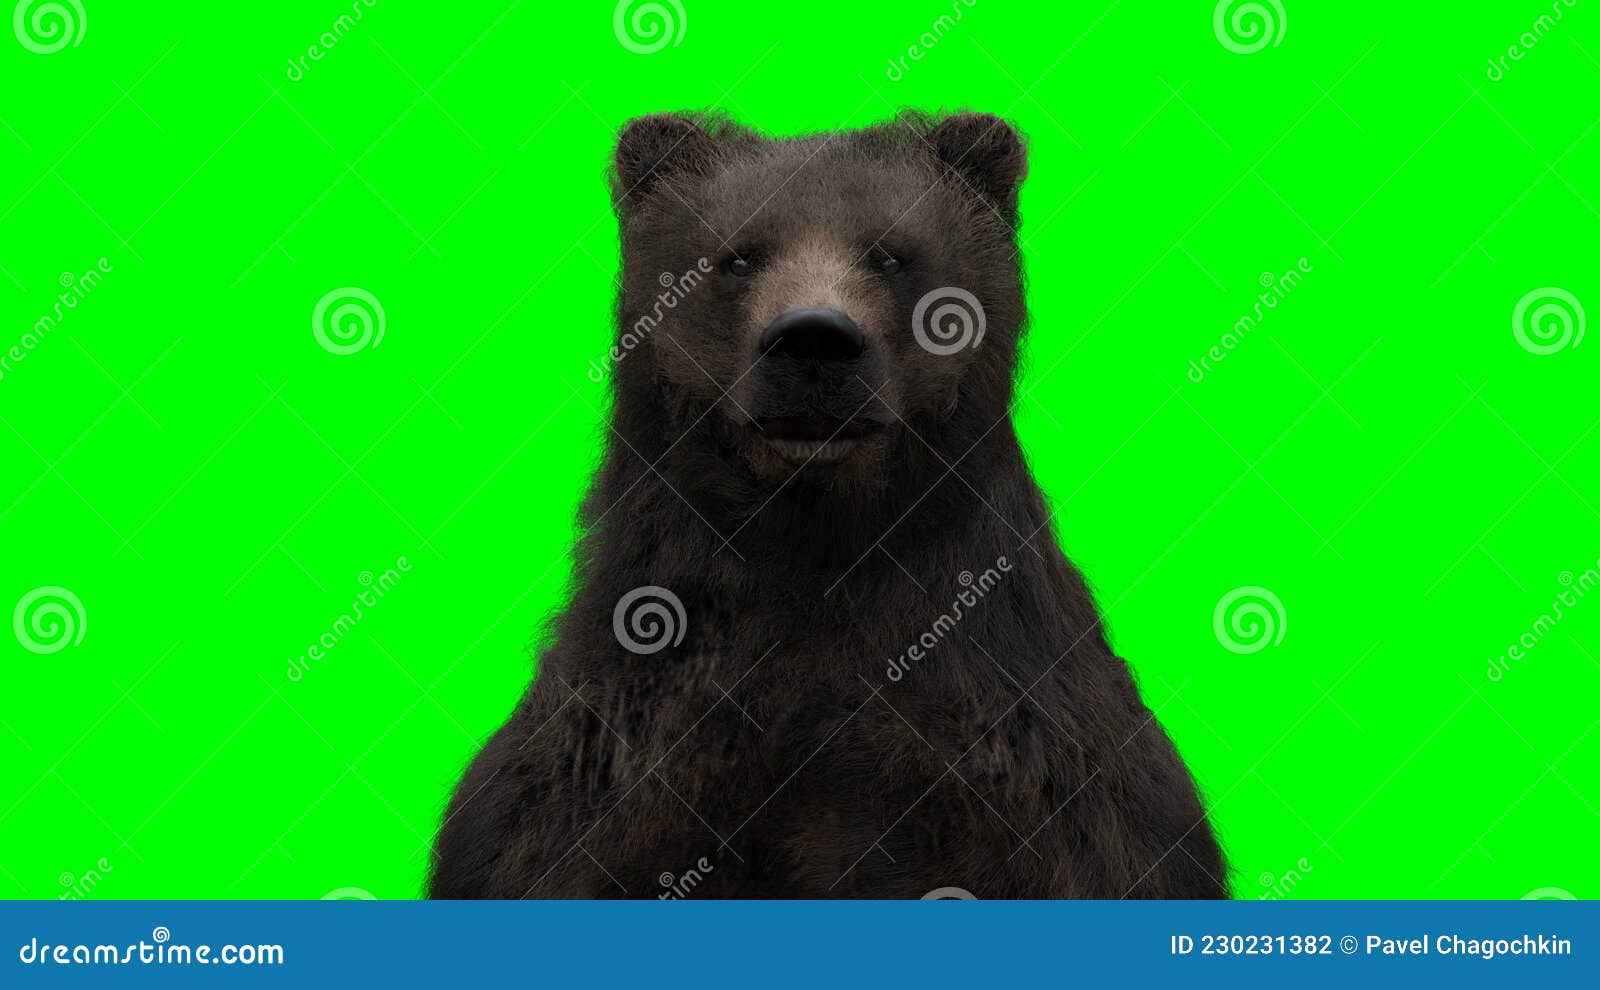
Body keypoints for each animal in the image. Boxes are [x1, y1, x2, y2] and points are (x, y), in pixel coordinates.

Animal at [428, 110, 1227, 899]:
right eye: (738, 258)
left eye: (892, 256)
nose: (813, 339)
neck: (816, 540)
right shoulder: (616, 761)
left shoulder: (1025, 769)